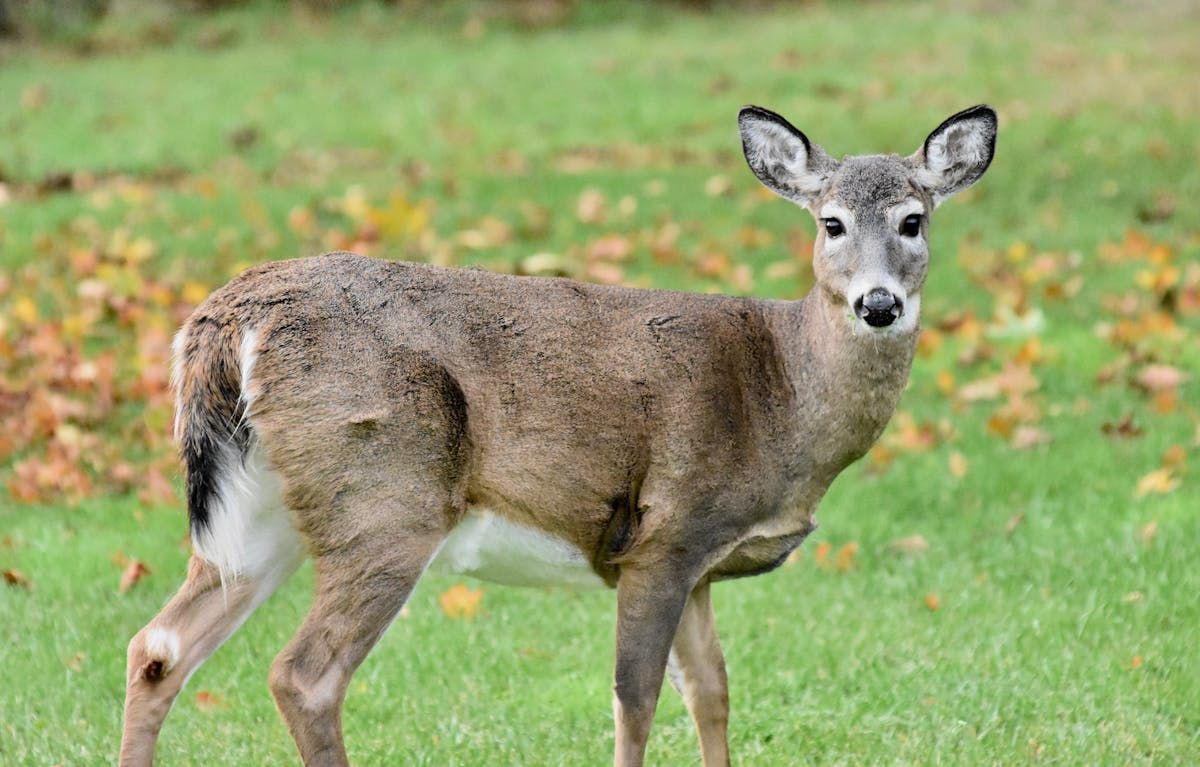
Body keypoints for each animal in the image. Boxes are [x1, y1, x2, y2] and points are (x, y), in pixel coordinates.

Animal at [119, 104, 996, 766]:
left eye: (913, 220)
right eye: (831, 222)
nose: (878, 304)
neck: (779, 390)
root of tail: (228, 317)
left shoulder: (701, 564)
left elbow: (712, 692)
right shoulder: (662, 535)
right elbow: (636, 697)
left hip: (266, 508)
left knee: (158, 645)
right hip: (384, 492)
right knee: (305, 674)